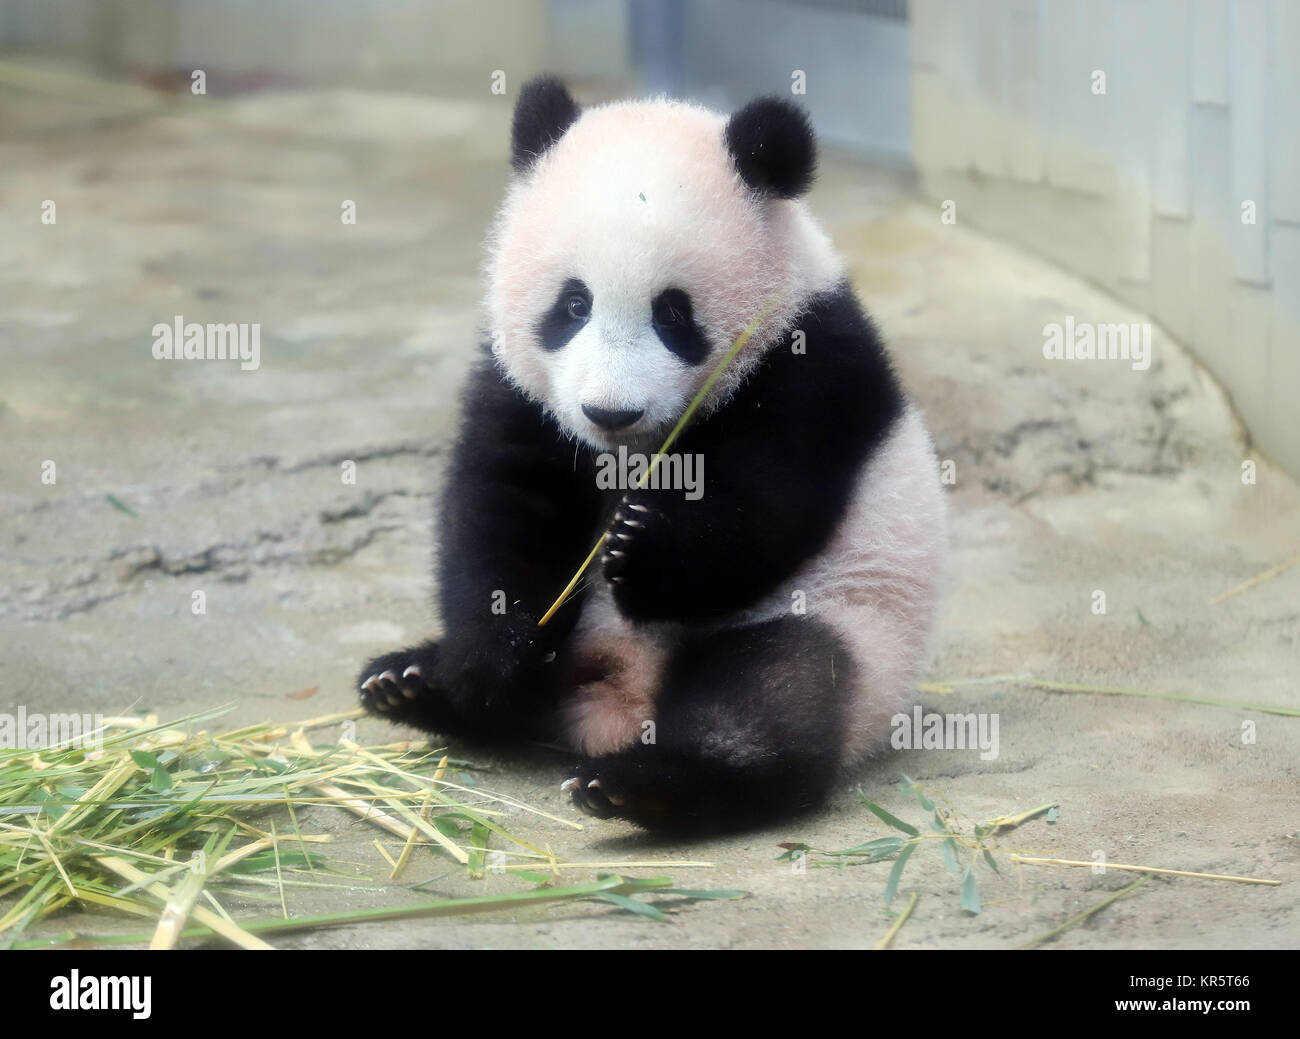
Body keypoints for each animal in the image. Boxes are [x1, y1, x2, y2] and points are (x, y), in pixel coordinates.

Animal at [358, 77, 947, 832]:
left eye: (673, 312)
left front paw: (637, 549)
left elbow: (766, 507)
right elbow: (502, 510)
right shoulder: (524, 392)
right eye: (572, 304)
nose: (611, 412)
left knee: (771, 693)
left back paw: (645, 783)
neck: (631, 450)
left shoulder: (808, 361)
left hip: (843, 617)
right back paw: (409, 682)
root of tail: (612, 706)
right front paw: (486, 668)